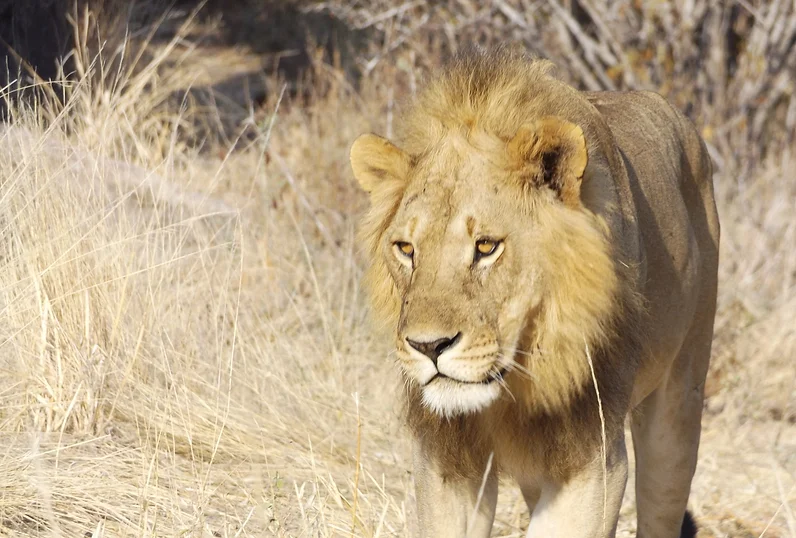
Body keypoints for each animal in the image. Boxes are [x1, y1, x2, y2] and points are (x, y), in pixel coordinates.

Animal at [350, 48, 719, 538]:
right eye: (406, 249)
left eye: (487, 246)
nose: (428, 346)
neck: (512, 388)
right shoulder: (446, 460)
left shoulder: (593, 461)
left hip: (679, 401)